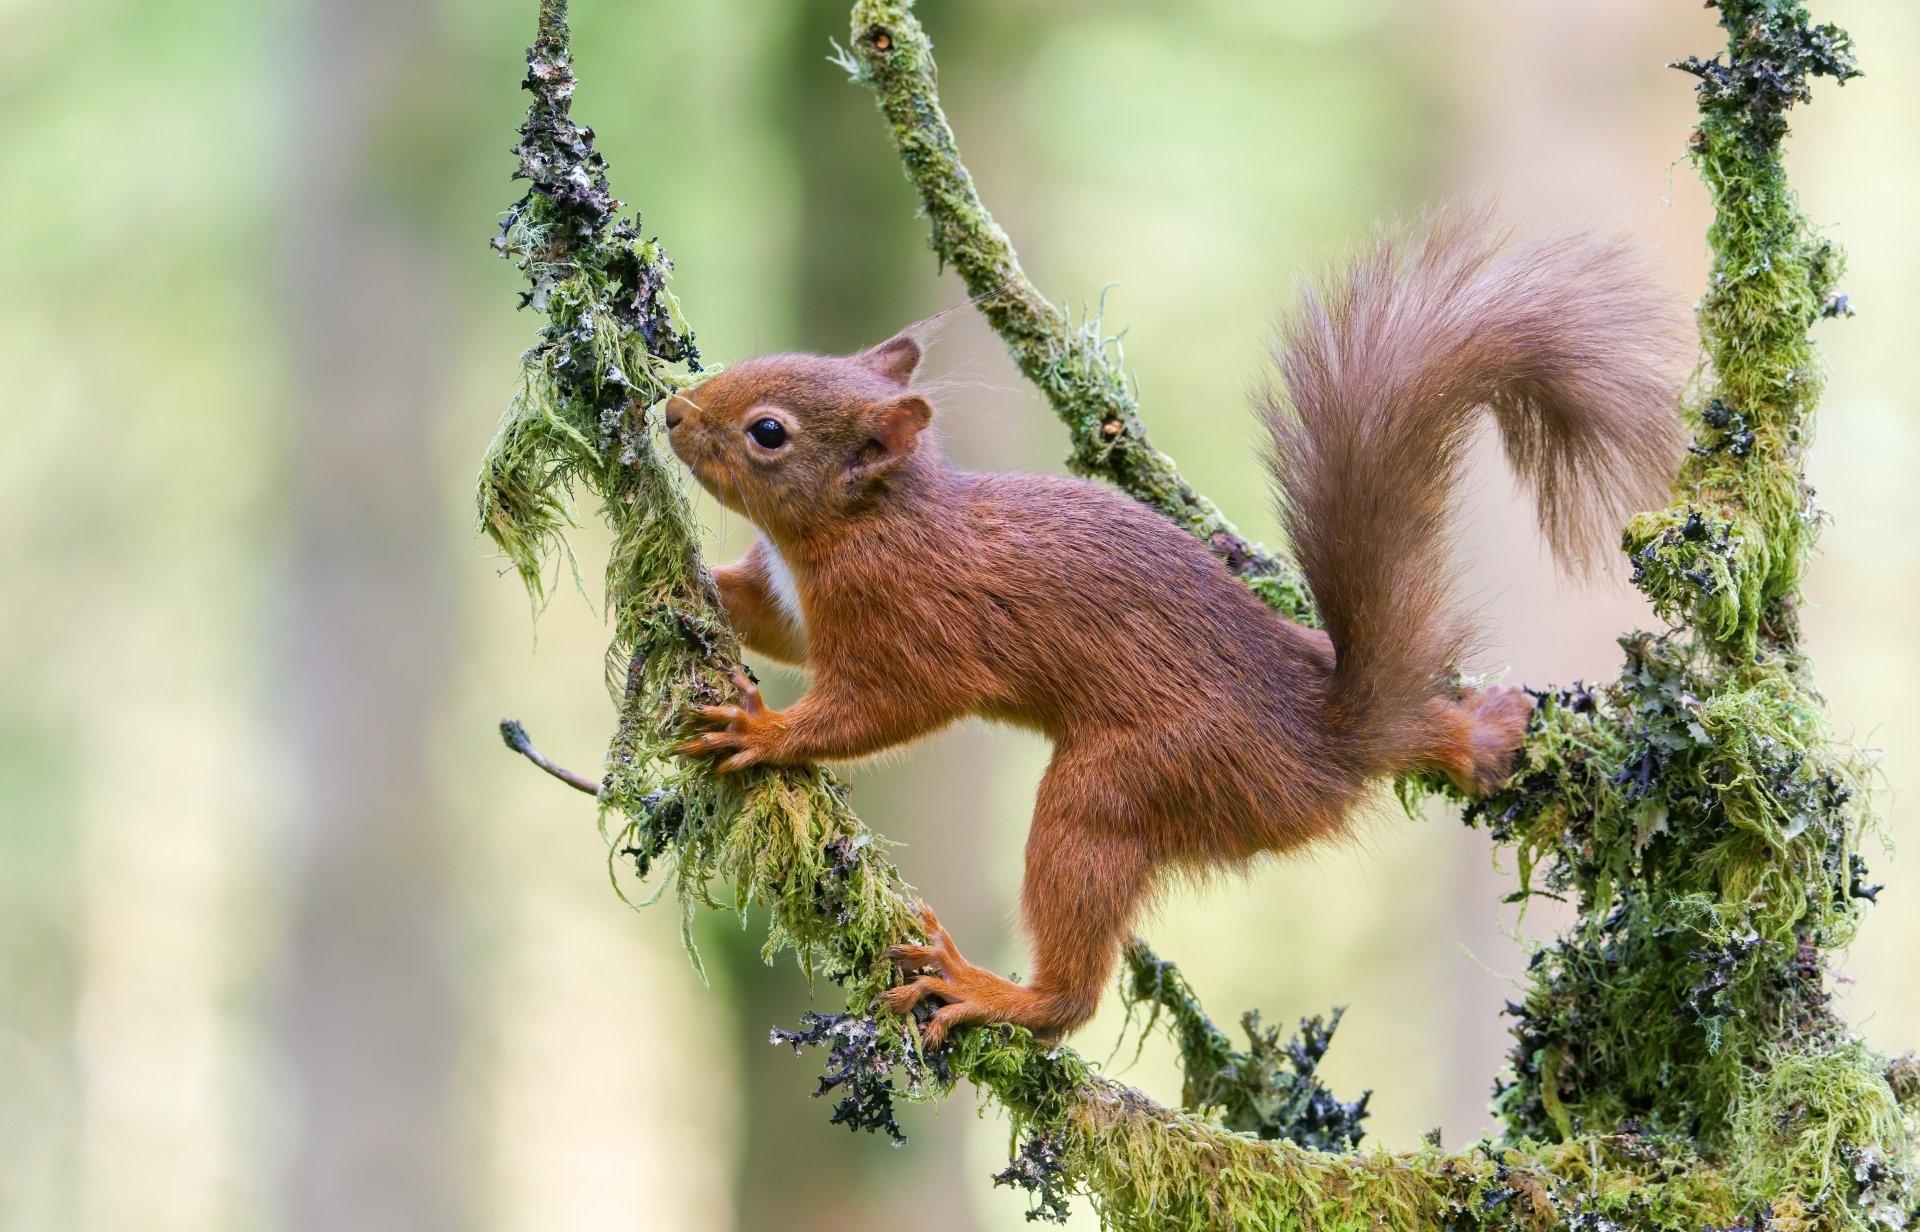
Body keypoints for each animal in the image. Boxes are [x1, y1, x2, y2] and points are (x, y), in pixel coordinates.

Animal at [664, 212, 1686, 1047]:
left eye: (767, 432)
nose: (670, 410)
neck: (861, 522)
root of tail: (1334, 745)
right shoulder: (795, 602)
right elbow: (768, 622)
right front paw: (694, 583)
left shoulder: (910, 620)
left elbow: (881, 708)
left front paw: (767, 729)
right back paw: (1483, 733)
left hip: (1127, 786)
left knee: (1076, 969)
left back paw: (1000, 995)